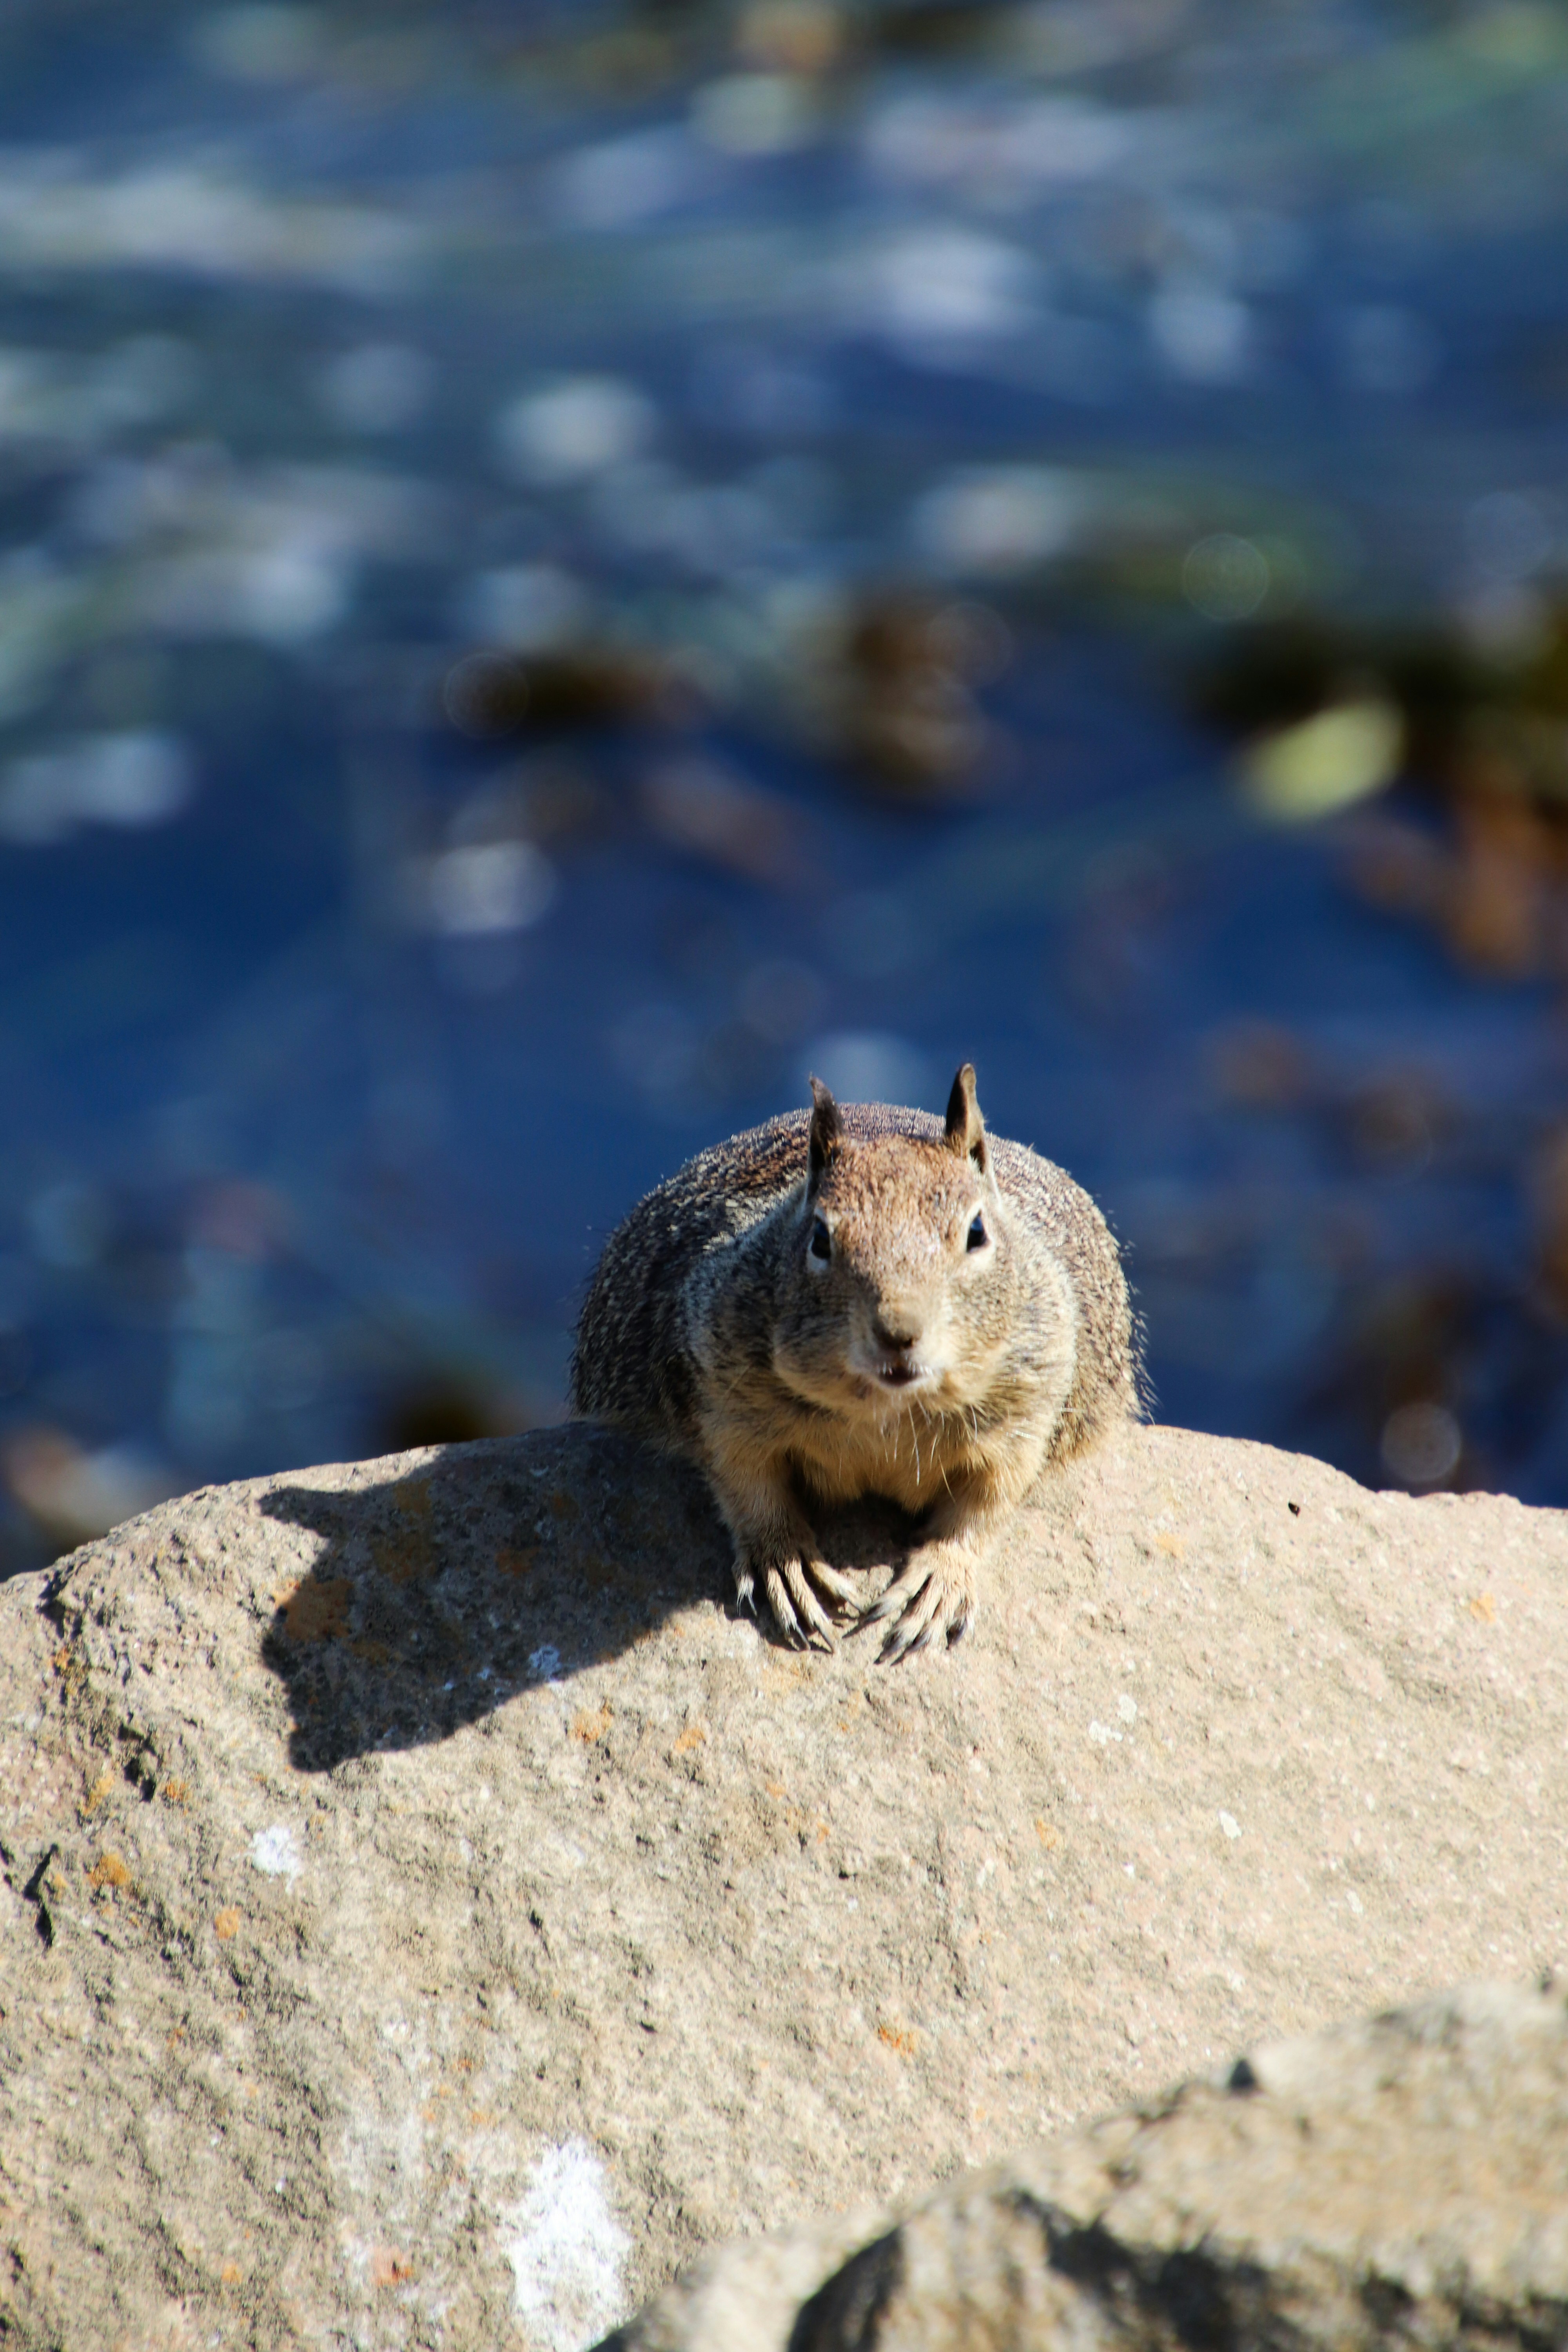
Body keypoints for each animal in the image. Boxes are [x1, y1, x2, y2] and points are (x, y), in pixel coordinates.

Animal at [570, 1063, 1140, 1661]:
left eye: (977, 1231)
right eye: (820, 1237)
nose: (898, 1333)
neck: (886, 1412)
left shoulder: (1027, 1405)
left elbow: (985, 1506)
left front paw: (938, 1581)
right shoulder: (720, 1388)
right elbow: (747, 1484)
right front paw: (787, 1565)